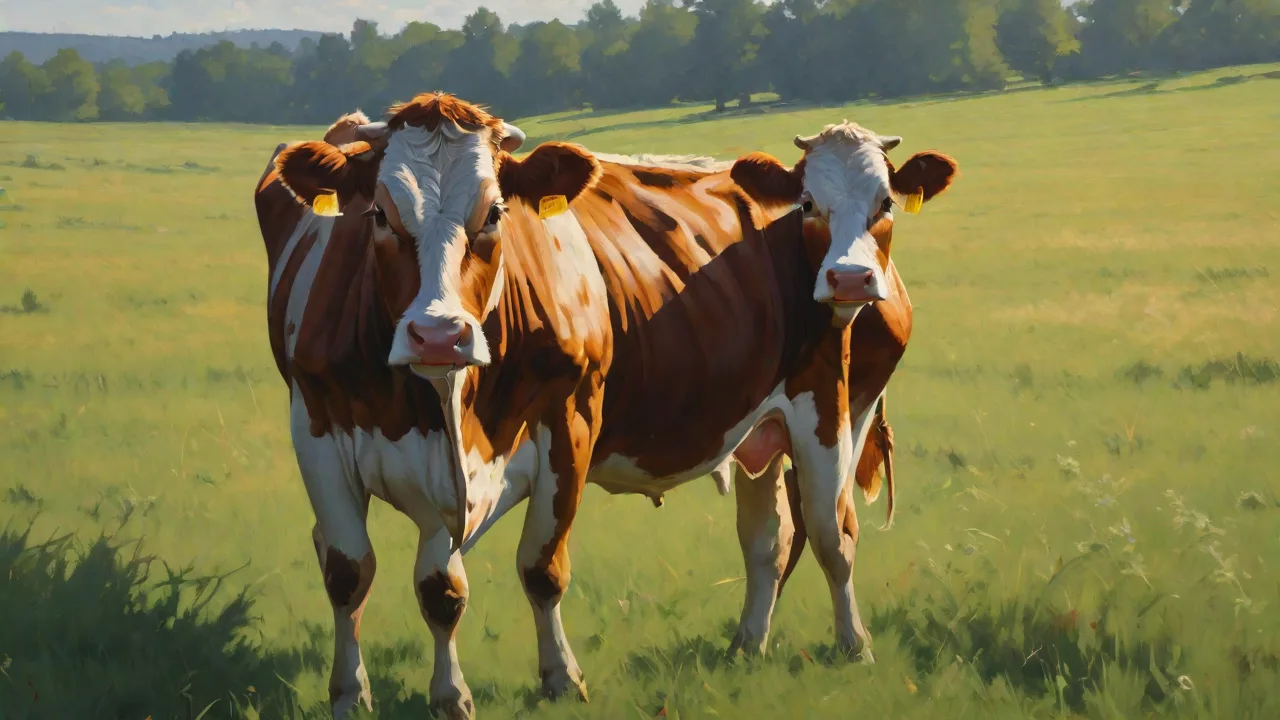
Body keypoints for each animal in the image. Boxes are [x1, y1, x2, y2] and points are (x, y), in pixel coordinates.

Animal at [254, 94, 957, 719]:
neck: (449, 408)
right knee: (769, 538)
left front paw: (557, 680)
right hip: (761, 427)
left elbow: (538, 567)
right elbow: (369, 574)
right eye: (378, 214)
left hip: (828, 406)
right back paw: (747, 646)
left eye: (494, 212)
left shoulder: (569, 424)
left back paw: (852, 645)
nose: (438, 334)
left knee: (832, 530)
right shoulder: (317, 434)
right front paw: (360, 695)